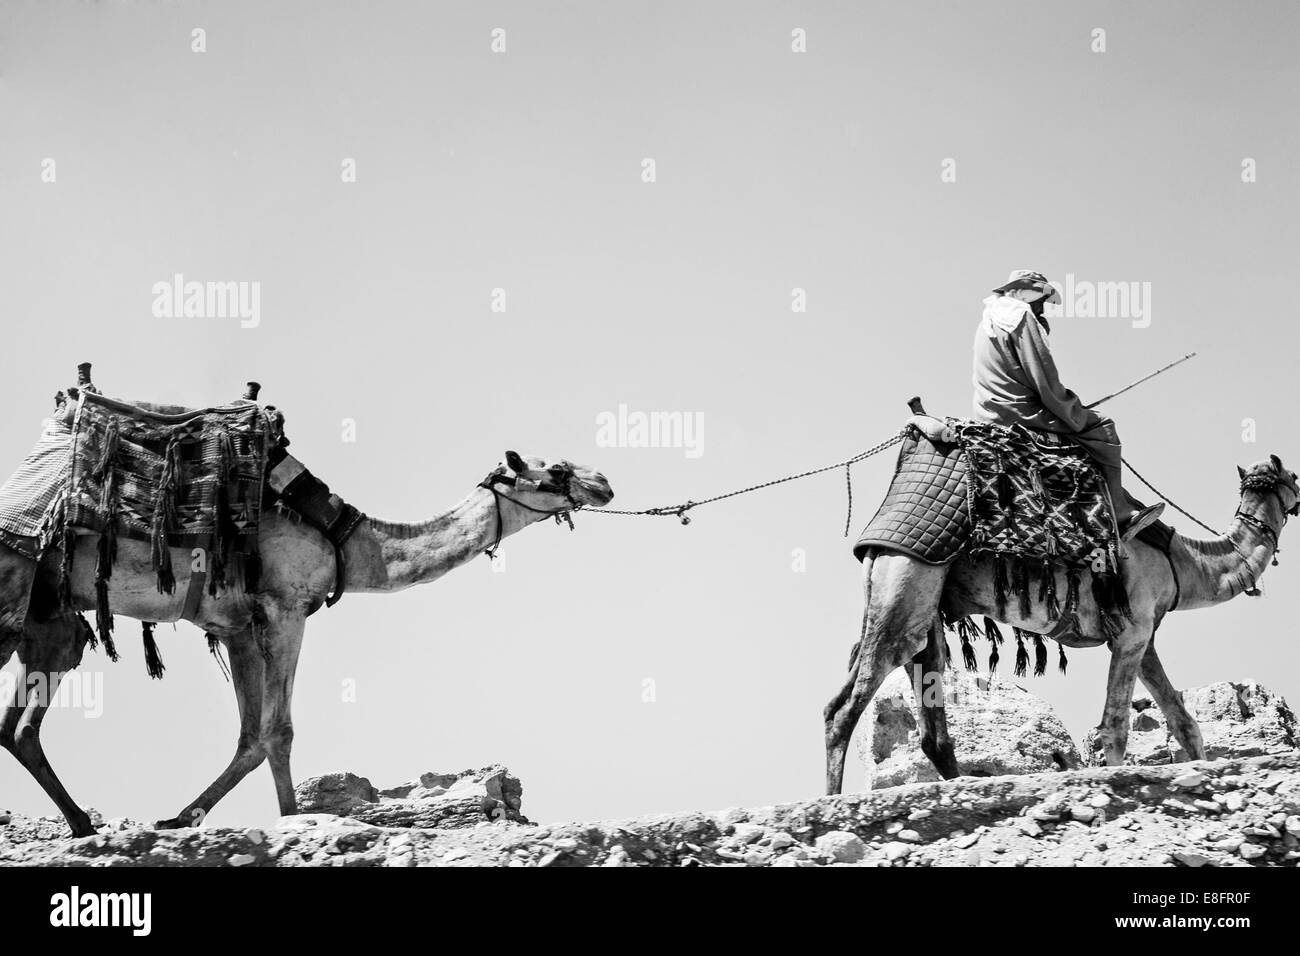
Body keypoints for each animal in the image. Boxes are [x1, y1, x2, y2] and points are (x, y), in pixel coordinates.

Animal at [0, 450, 613, 836]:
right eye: (557, 467)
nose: (605, 483)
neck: (346, 541)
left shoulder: (237, 624)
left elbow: (252, 735)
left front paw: (178, 818)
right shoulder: (285, 606)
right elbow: (280, 730)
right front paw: (292, 818)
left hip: (47, 620)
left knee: (19, 726)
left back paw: (81, 823)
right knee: (22, 722)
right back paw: (80, 823)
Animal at [824, 454, 1299, 794]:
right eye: (1293, 475)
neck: (1184, 562)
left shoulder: (1144, 637)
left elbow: (1184, 721)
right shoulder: (1131, 631)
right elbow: (1115, 724)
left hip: (924, 607)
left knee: (928, 717)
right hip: (907, 580)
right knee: (844, 703)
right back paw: (832, 800)